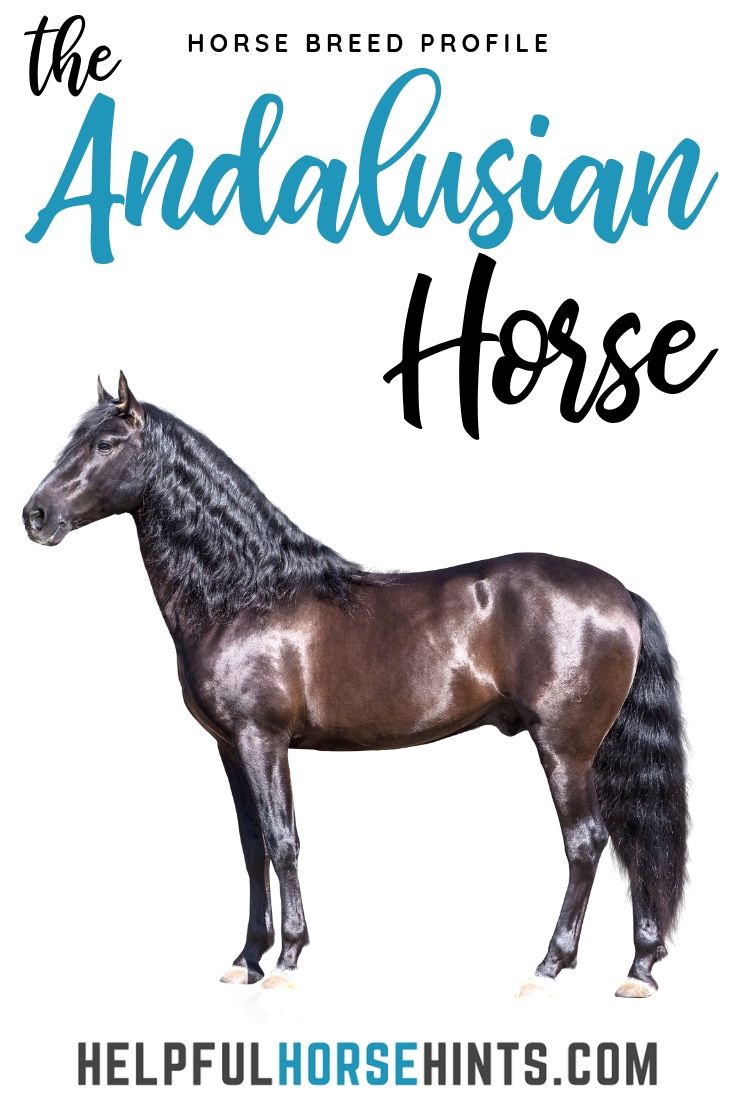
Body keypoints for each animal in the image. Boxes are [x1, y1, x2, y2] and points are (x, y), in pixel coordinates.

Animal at [22, 374, 688, 998]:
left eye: (105, 443)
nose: (35, 516)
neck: (245, 594)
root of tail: (620, 593)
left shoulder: (263, 739)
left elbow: (282, 840)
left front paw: (287, 961)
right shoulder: (230, 746)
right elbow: (251, 847)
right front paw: (247, 959)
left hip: (565, 747)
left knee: (586, 843)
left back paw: (549, 967)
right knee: (635, 842)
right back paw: (639, 968)